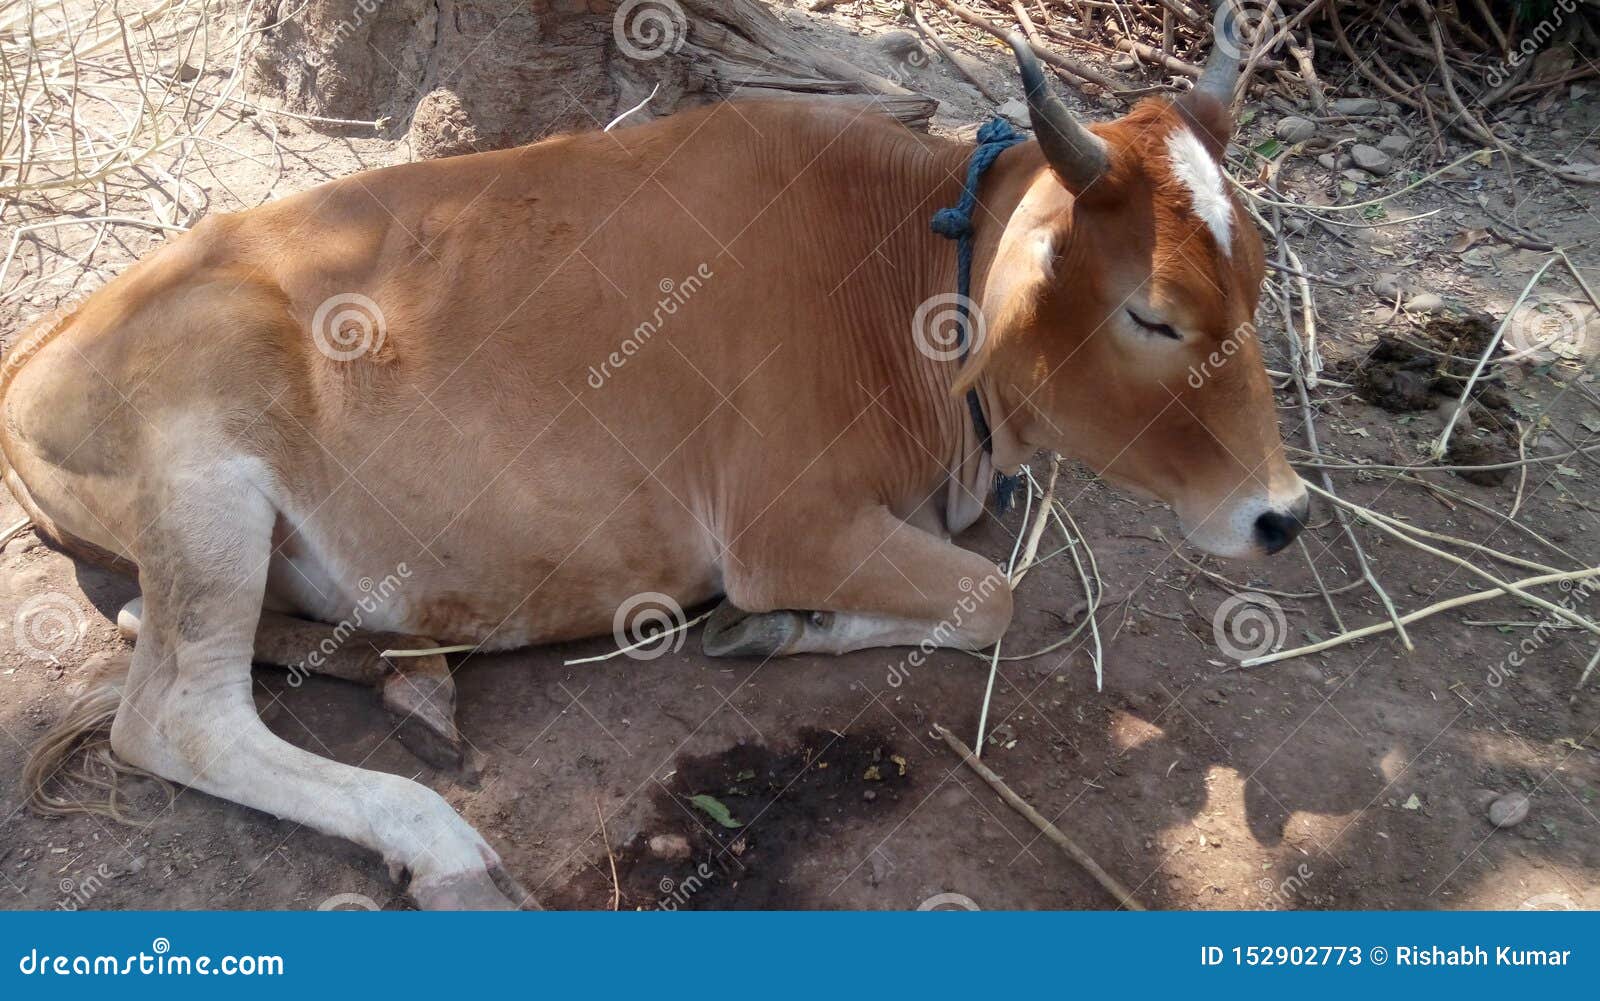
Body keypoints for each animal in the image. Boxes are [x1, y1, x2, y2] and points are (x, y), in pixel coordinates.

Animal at [2, 15, 1307, 907]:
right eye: (1152, 315)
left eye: (1253, 282)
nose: (1281, 516)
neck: (896, 277)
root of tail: (43, 340)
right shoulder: (786, 523)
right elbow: (990, 596)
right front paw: (771, 628)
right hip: (207, 477)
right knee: (173, 714)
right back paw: (441, 842)